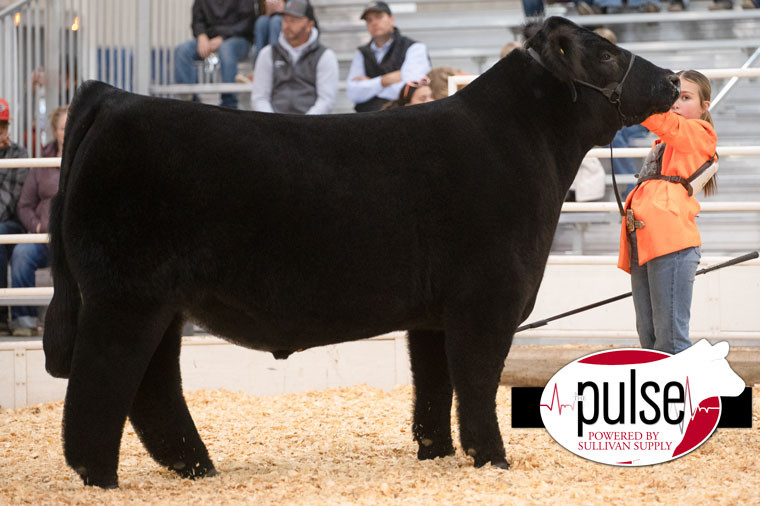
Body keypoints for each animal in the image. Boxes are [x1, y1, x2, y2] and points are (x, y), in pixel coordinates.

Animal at [43, 17, 680, 488]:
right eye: (603, 53)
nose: (674, 79)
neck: (524, 144)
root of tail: (114, 98)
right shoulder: (487, 301)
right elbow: (475, 380)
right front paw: (492, 459)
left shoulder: (434, 315)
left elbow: (433, 384)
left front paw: (436, 453)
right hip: (125, 296)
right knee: (102, 384)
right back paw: (102, 478)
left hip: (159, 302)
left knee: (151, 386)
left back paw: (195, 467)